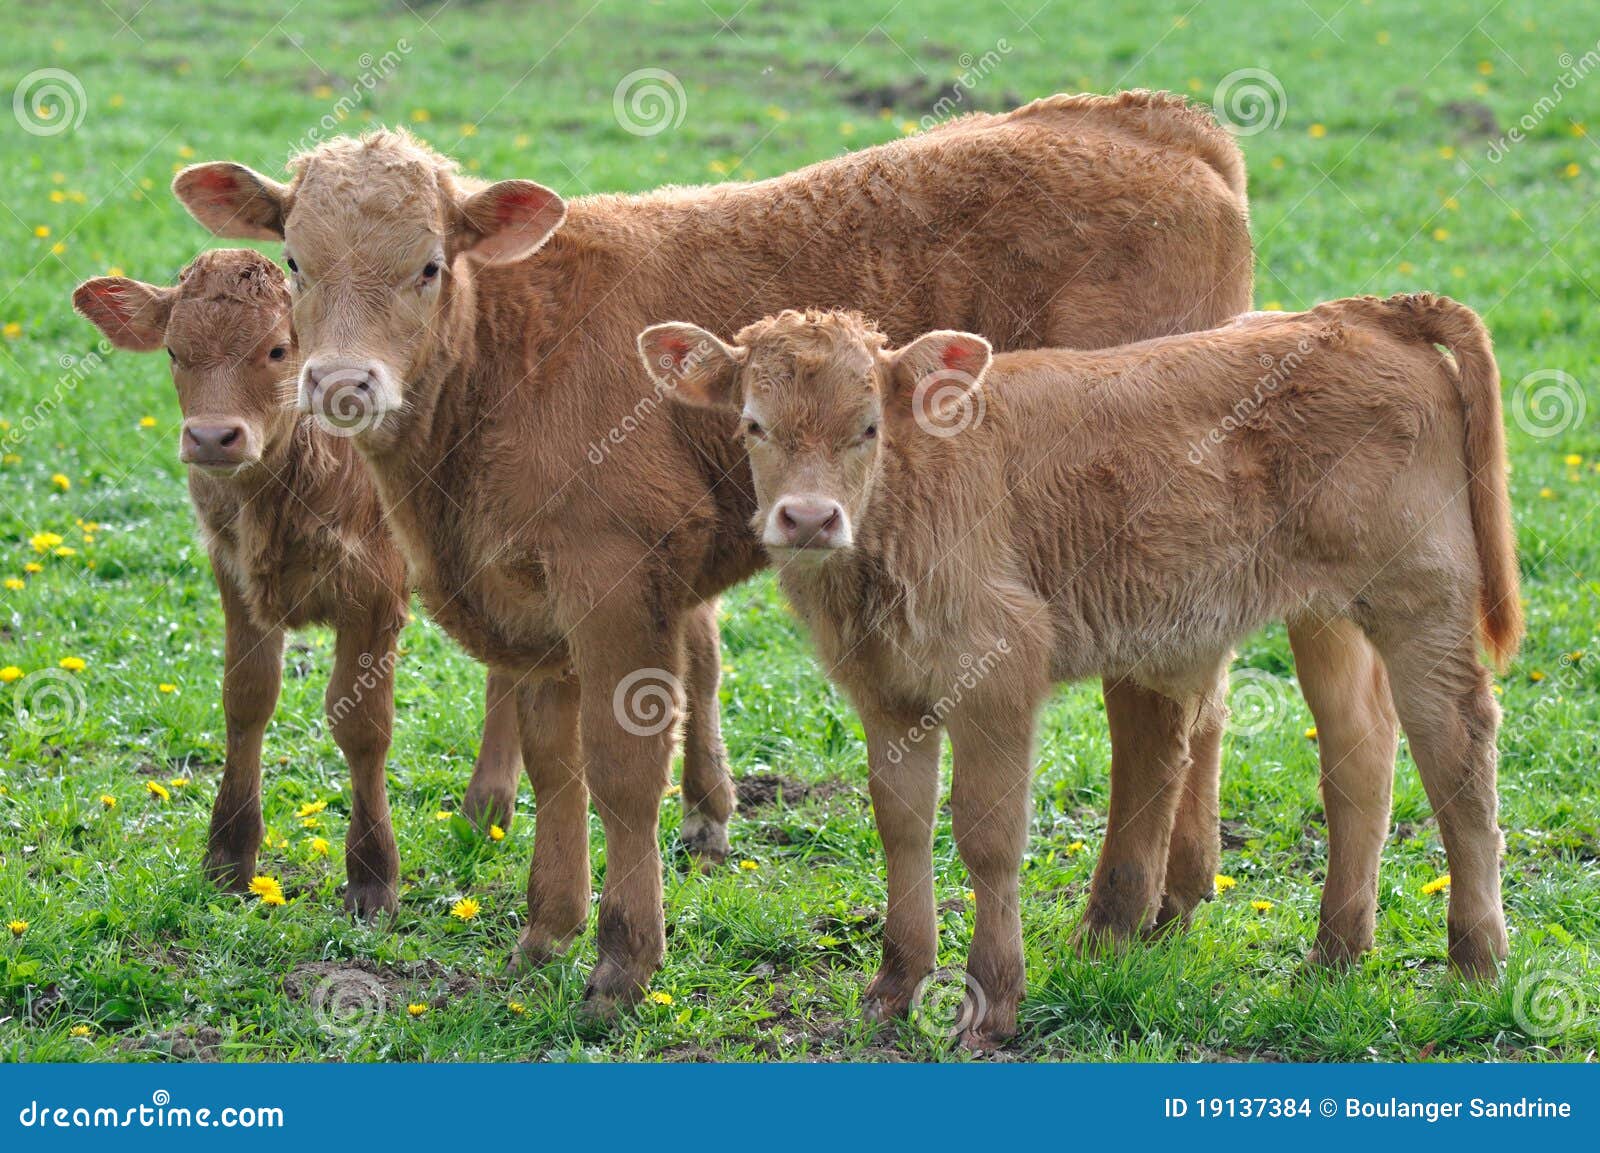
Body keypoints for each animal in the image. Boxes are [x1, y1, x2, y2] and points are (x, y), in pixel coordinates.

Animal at [640, 296, 1519, 1043]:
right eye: (754, 424)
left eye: (868, 426)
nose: (810, 518)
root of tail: (1361, 313)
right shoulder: (885, 691)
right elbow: (902, 824)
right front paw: (896, 985)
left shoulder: (998, 671)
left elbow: (988, 835)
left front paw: (991, 1002)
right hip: (1327, 611)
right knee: (1359, 755)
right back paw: (1335, 954)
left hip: (1421, 598)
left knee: (1457, 753)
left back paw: (1475, 964)